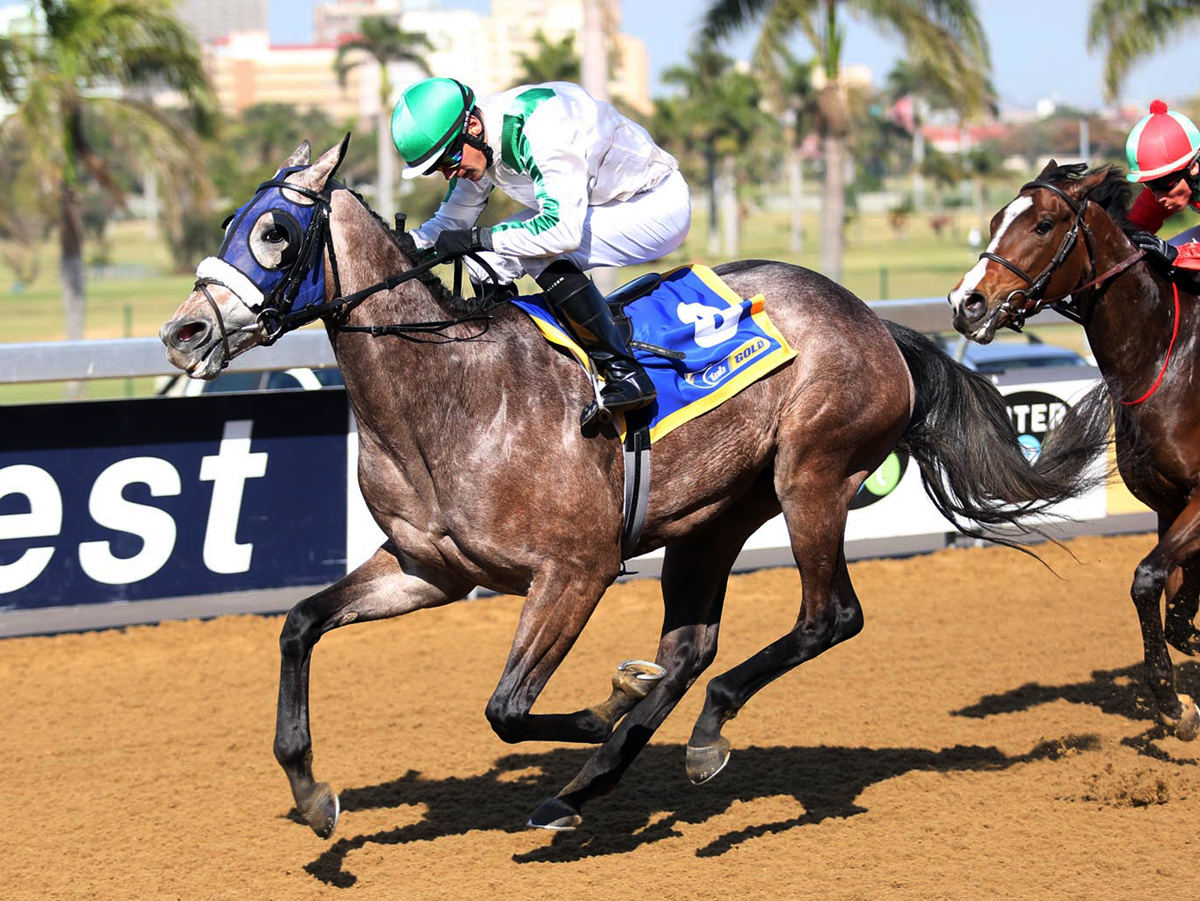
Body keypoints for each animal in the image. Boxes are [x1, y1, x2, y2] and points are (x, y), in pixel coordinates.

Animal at [160, 137, 1111, 838]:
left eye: (275, 232)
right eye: (233, 219)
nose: (183, 331)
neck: (454, 391)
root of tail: (877, 323)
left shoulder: (574, 570)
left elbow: (509, 707)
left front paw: (606, 699)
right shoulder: (427, 568)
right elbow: (298, 624)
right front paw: (313, 793)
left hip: (813, 474)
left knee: (828, 616)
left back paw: (696, 737)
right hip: (712, 517)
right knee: (693, 646)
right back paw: (585, 786)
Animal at [948, 159, 1200, 743]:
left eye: (1043, 225)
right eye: (995, 220)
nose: (966, 303)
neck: (1167, 357)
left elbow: (1149, 582)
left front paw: (1172, 700)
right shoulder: (1169, 504)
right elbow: (1168, 590)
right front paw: (1177, 696)